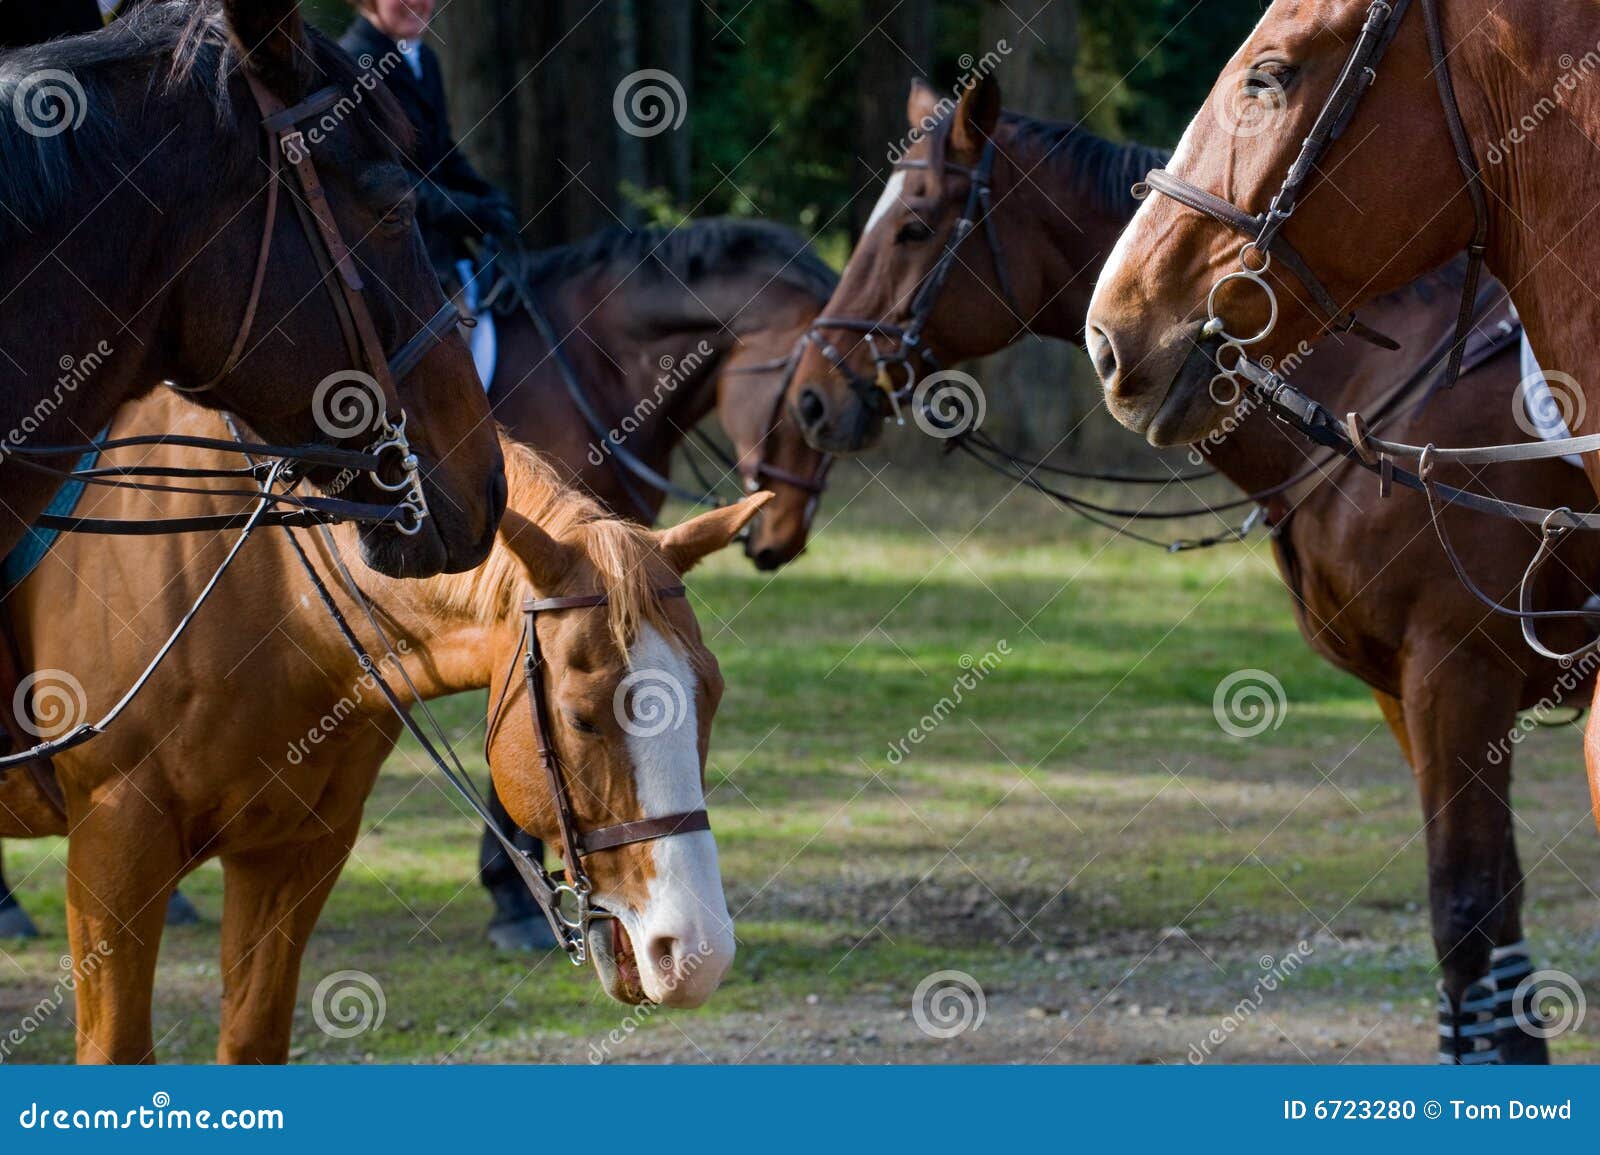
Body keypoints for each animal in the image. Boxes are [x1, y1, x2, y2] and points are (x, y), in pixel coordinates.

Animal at [0, 389, 761, 1062]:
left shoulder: (297, 850)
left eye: (714, 695)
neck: (270, 588)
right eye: (580, 716)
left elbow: (252, 1040)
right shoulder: (116, 846)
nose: (696, 951)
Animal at [784, 75, 1600, 1063]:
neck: (1374, 397)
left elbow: (1470, 913)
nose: (811, 395)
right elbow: (1493, 925)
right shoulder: (1404, 693)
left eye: (913, 226)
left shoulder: (1458, 676)